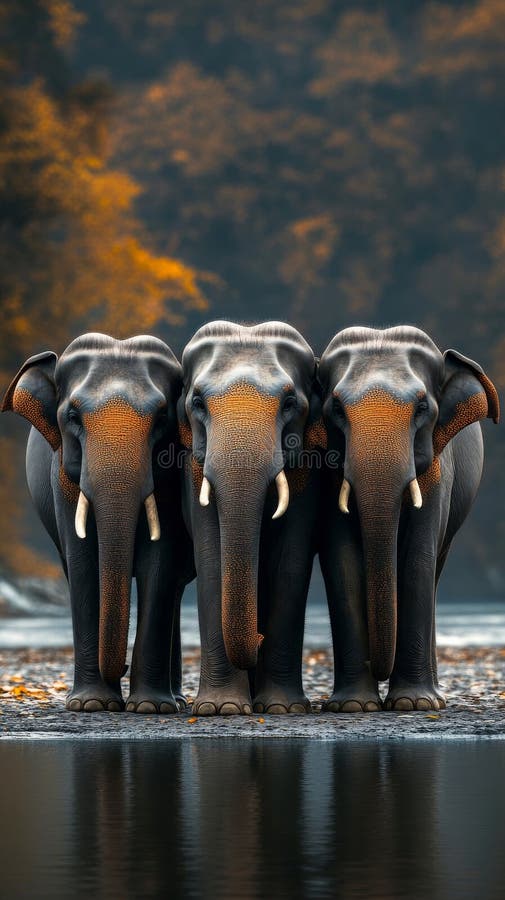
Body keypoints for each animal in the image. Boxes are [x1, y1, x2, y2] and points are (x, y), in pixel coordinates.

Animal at [2, 333, 193, 713]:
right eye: (73, 416)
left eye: (162, 416)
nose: (123, 666)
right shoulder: (62, 478)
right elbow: (83, 563)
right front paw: (91, 704)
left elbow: (158, 563)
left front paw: (149, 708)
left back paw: (175, 702)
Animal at [178, 320, 322, 715]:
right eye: (198, 403)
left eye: (289, 403)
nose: (258, 636)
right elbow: (212, 558)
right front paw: (221, 710)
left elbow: (290, 561)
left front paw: (283, 710)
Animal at [318, 325, 499, 712]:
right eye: (336, 408)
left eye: (422, 408)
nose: (379, 667)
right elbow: (341, 558)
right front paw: (353, 707)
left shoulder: (438, 470)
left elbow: (418, 558)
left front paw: (411, 704)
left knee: (435, 569)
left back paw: (435, 697)